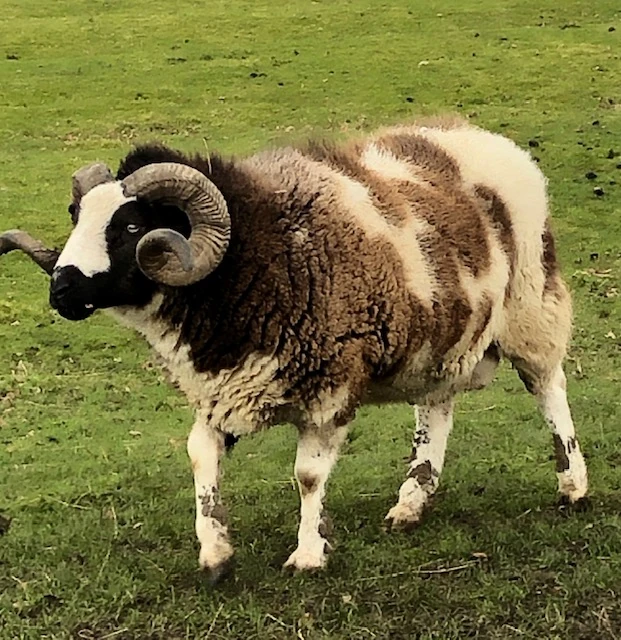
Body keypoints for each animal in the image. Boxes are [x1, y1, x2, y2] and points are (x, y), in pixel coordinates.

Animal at [0, 116, 588, 581]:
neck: (262, 251)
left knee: (548, 387)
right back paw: (411, 503)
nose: (61, 290)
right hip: (440, 339)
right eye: (77, 214)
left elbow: (308, 476)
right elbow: (200, 457)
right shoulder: (225, 389)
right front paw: (215, 554)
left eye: (130, 225)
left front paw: (308, 555)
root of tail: (488, 138)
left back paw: (573, 485)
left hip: (531, 305)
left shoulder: (330, 389)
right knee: (436, 409)